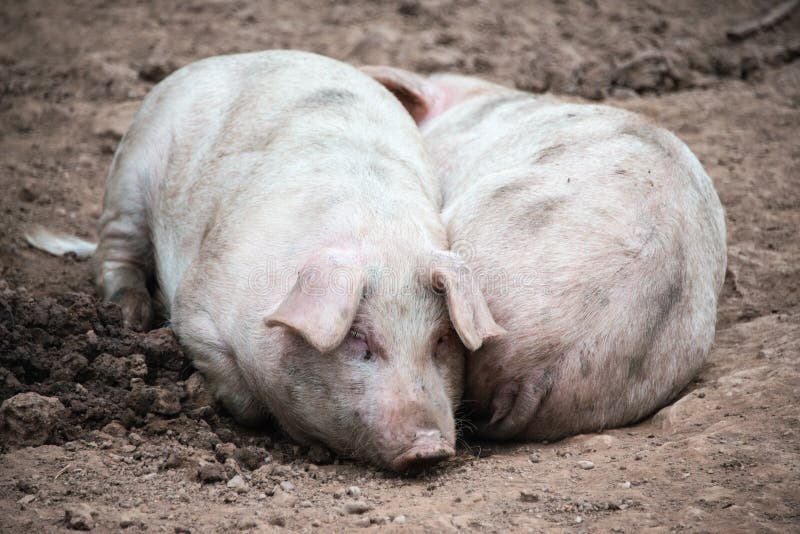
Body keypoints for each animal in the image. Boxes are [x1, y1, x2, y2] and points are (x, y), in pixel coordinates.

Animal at [26, 51, 504, 471]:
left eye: (440, 340)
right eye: (359, 340)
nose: (428, 448)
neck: (378, 236)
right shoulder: (197, 309)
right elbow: (239, 392)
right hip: (130, 169)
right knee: (115, 250)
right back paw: (130, 317)